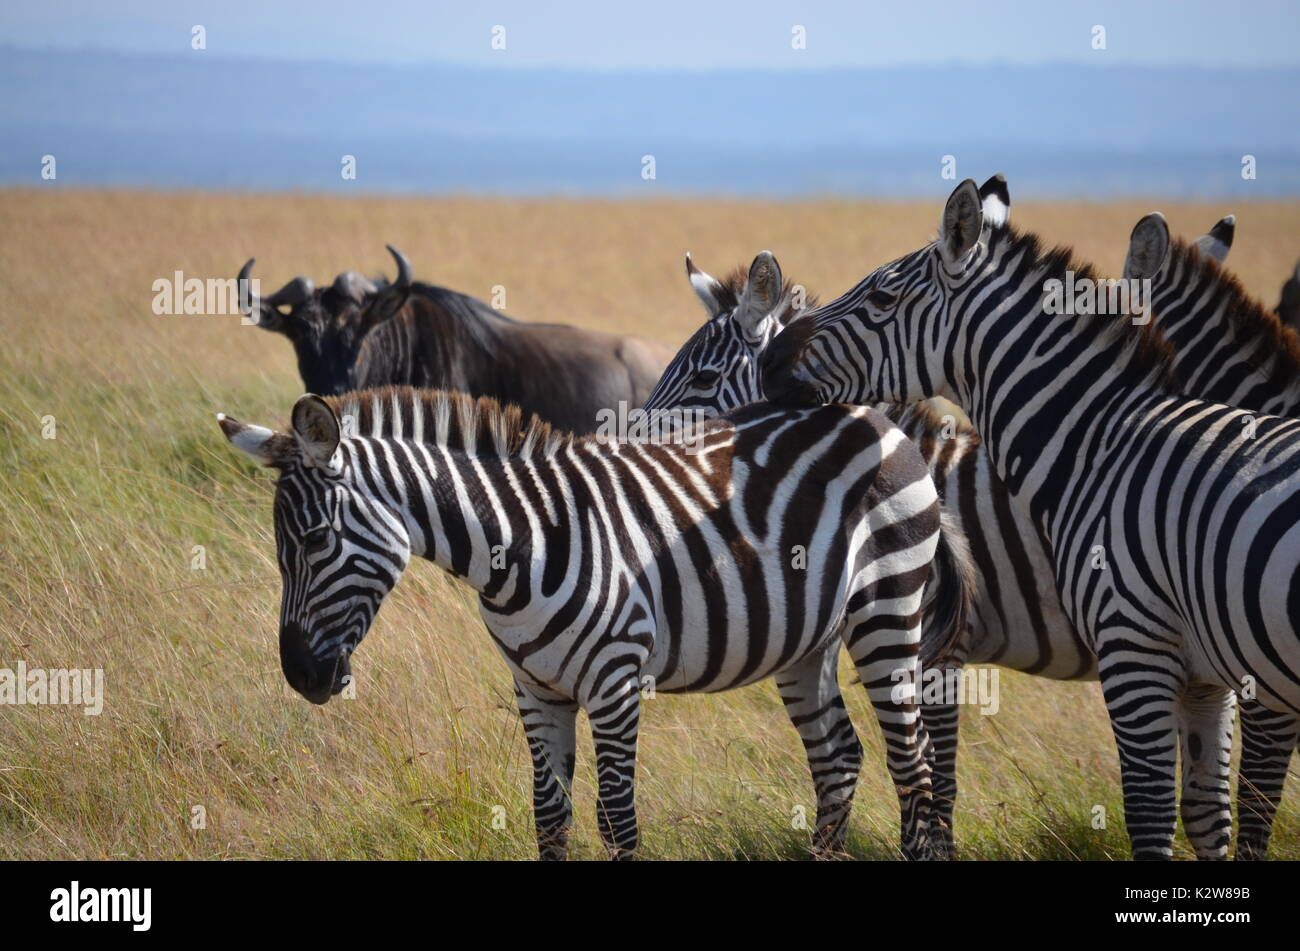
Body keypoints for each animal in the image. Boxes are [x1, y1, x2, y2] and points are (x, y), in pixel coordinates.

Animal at [217, 385, 972, 859]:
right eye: (279, 548)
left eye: (316, 540)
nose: (301, 675)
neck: (520, 545)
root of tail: (880, 417)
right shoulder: (536, 690)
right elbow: (550, 816)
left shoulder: (614, 681)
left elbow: (616, 818)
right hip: (805, 641)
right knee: (839, 756)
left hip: (887, 611)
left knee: (912, 761)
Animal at [762, 176, 1300, 860]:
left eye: (882, 296)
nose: (770, 360)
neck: (1103, 445)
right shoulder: (1209, 676)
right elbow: (1211, 815)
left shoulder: (1141, 652)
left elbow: (1163, 813)